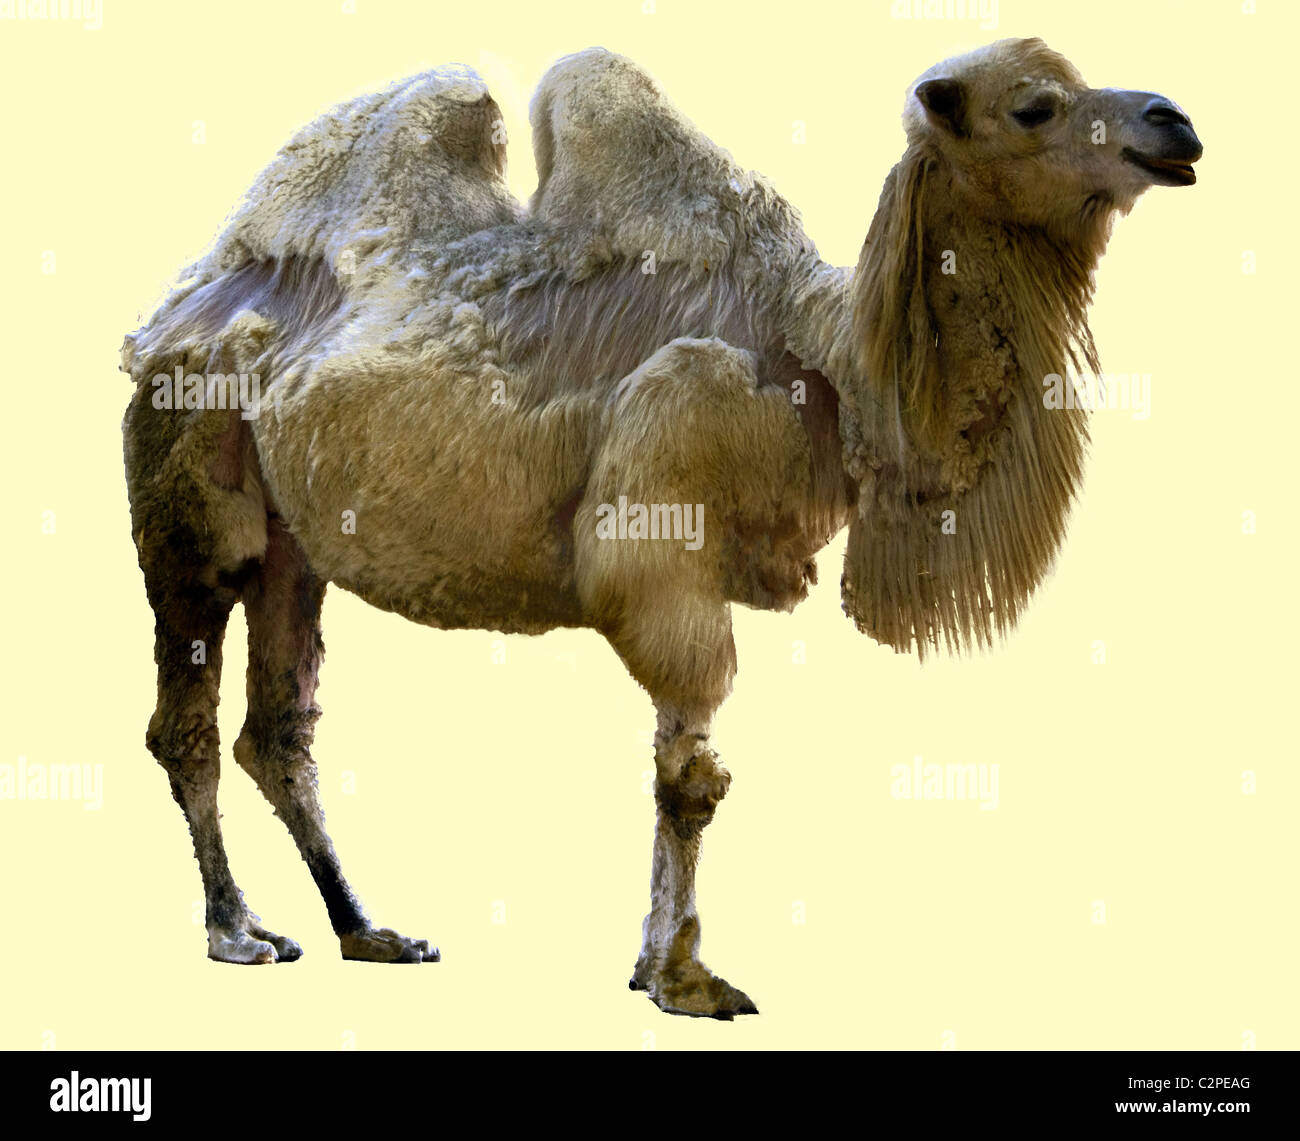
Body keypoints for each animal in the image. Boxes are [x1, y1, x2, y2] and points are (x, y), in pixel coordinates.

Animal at [121, 39, 1201, 1018]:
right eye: (1034, 107)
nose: (1174, 125)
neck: (830, 362)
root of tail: (176, 309)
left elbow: (679, 773)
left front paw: (650, 965)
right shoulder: (660, 548)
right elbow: (691, 777)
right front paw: (684, 980)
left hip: (291, 541)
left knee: (278, 728)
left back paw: (367, 928)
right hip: (187, 482)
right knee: (188, 714)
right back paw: (237, 929)